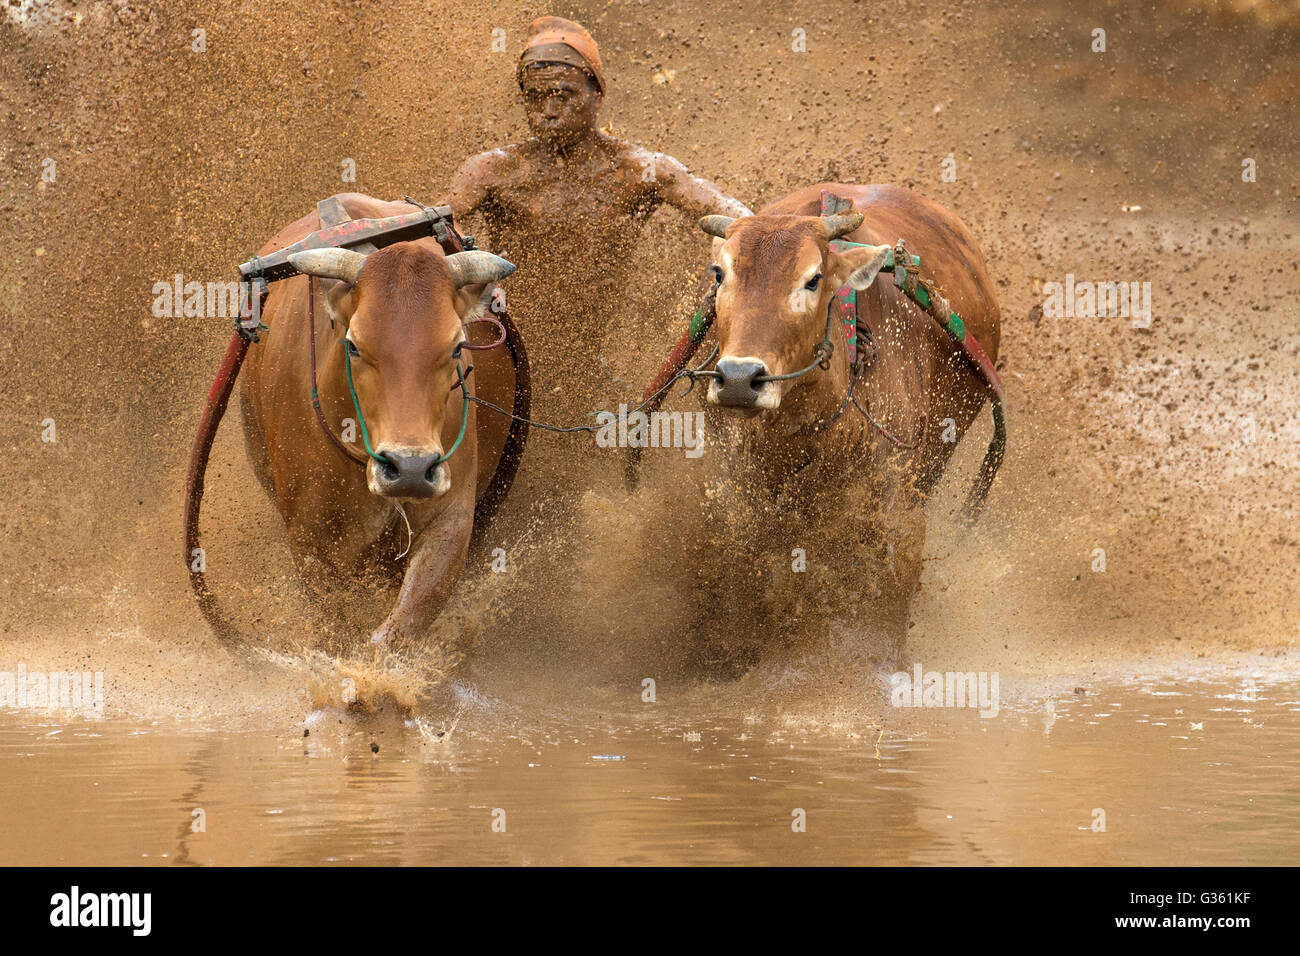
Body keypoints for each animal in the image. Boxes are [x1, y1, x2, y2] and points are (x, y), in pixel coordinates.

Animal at [238, 194, 524, 647]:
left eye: (457, 346)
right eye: (354, 345)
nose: (409, 468)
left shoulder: (452, 518)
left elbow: (399, 629)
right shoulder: (308, 540)